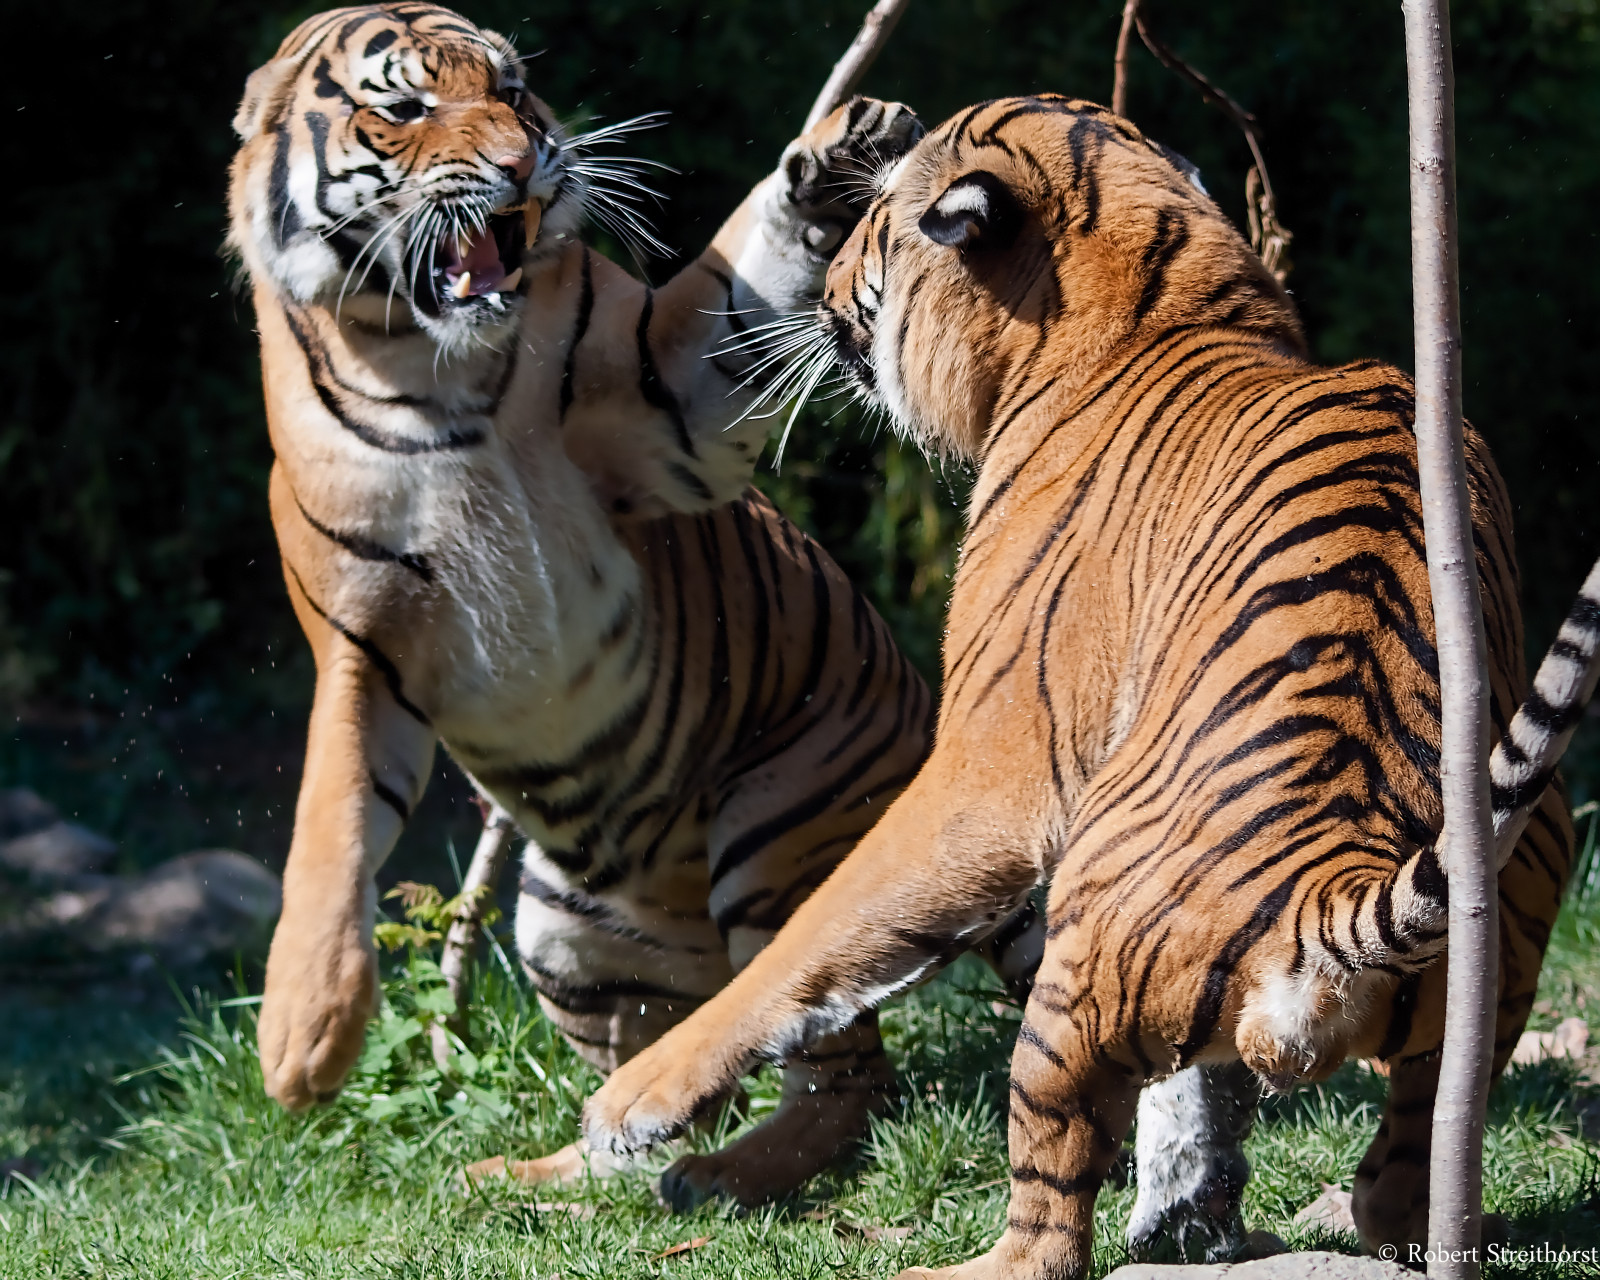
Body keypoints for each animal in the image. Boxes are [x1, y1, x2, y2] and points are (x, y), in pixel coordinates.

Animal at [225, 3, 1046, 1209]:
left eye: (511, 91)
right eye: (405, 106)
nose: (523, 162)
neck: (432, 364)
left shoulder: (676, 402)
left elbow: (742, 288)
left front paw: (838, 153)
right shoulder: (360, 640)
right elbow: (330, 821)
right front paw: (303, 1042)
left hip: (775, 837)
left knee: (837, 1071)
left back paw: (720, 1177)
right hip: (564, 939)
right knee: (657, 1088)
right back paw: (531, 1172)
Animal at [581, 94, 1600, 1273]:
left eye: (871, 225)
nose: (823, 288)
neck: (1161, 297)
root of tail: (1332, 891)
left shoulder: (989, 771)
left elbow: (826, 927)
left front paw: (636, 1104)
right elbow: (1194, 1089)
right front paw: (1191, 1201)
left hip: (1071, 978)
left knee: (1047, 1221)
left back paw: (957, 1262)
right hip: (1513, 915)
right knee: (1411, 1162)